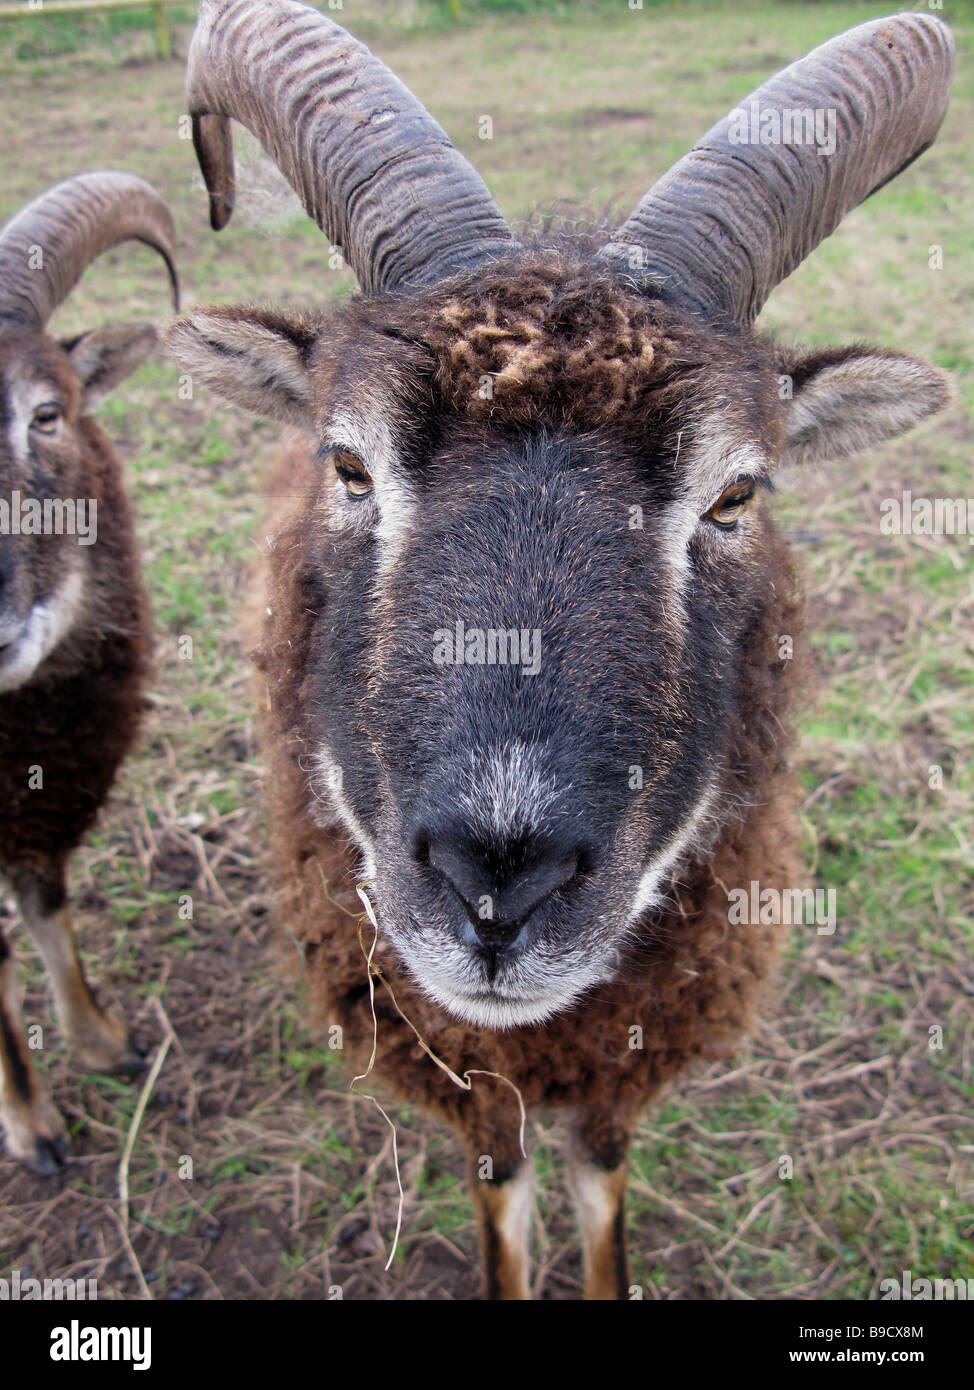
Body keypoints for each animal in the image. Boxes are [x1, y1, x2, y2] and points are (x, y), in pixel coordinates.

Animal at [168, 0, 954, 1297]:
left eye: (735, 494)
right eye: (347, 463)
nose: (498, 888)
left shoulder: (622, 1047)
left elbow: (599, 1181)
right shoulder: (463, 1054)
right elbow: (504, 1191)